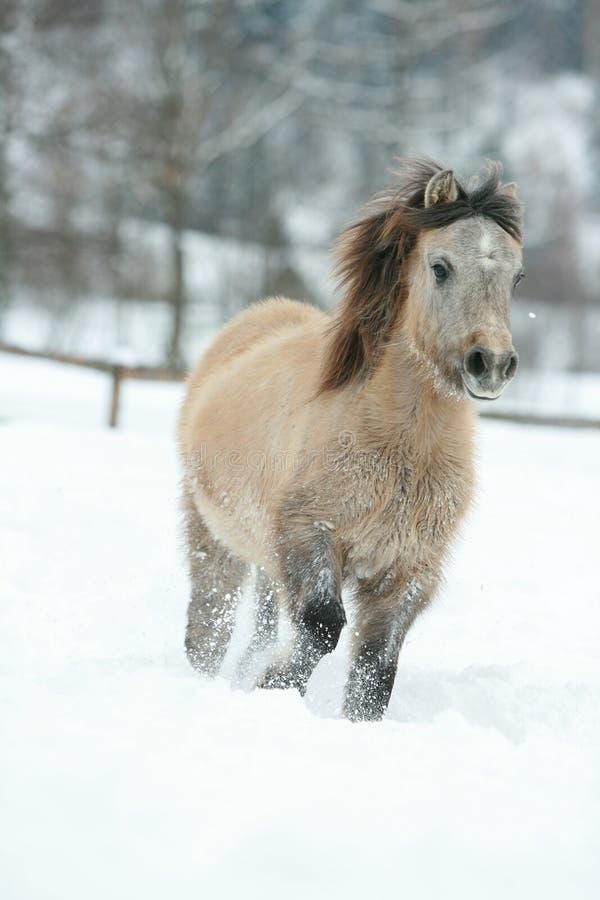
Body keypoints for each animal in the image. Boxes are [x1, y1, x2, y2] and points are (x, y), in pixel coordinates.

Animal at [177, 159, 524, 720]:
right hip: (211, 535)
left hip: (267, 558)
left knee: (259, 627)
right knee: (208, 630)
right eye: (440, 267)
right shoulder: (311, 533)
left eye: (517, 276)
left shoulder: (408, 569)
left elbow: (377, 666)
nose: (490, 364)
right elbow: (321, 627)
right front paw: (274, 687)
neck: (397, 449)